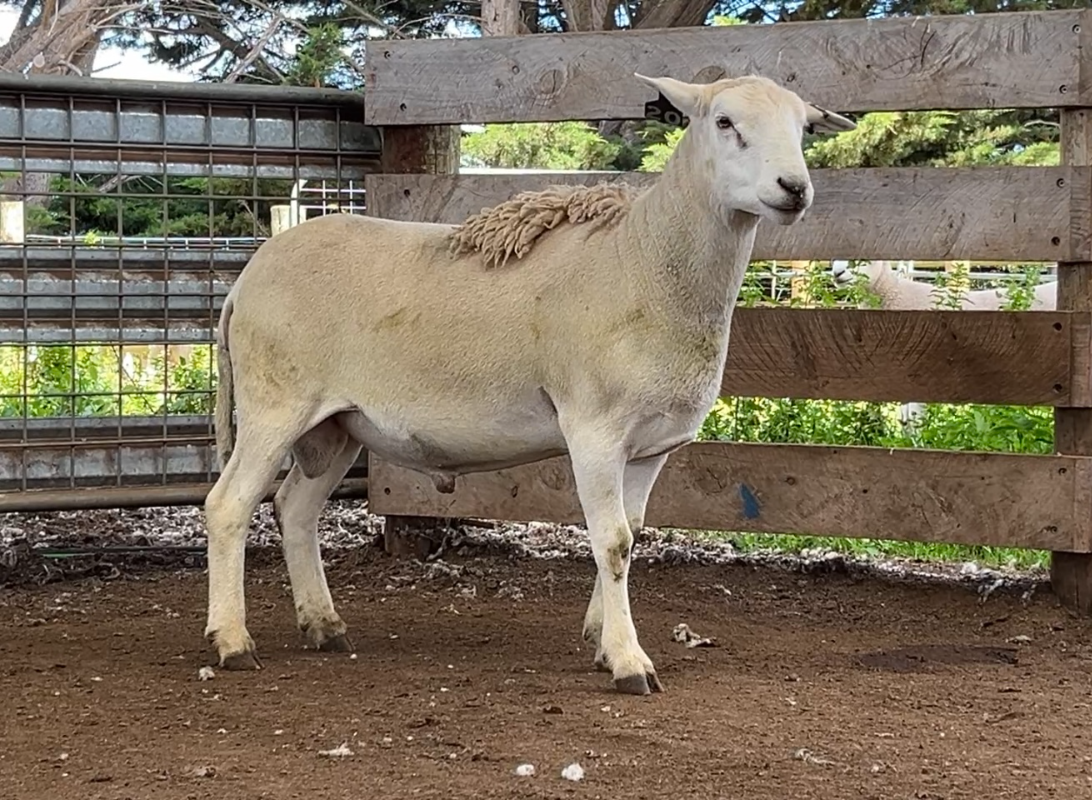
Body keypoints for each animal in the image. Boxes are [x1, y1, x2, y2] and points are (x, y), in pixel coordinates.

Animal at [203, 72, 855, 695]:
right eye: (724, 122)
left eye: (804, 128)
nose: (794, 189)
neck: (642, 263)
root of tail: (246, 281)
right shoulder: (593, 428)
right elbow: (612, 541)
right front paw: (628, 662)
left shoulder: (652, 447)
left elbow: (632, 535)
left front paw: (601, 637)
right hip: (275, 404)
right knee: (228, 504)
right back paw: (232, 641)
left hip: (336, 425)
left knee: (295, 509)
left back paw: (324, 626)